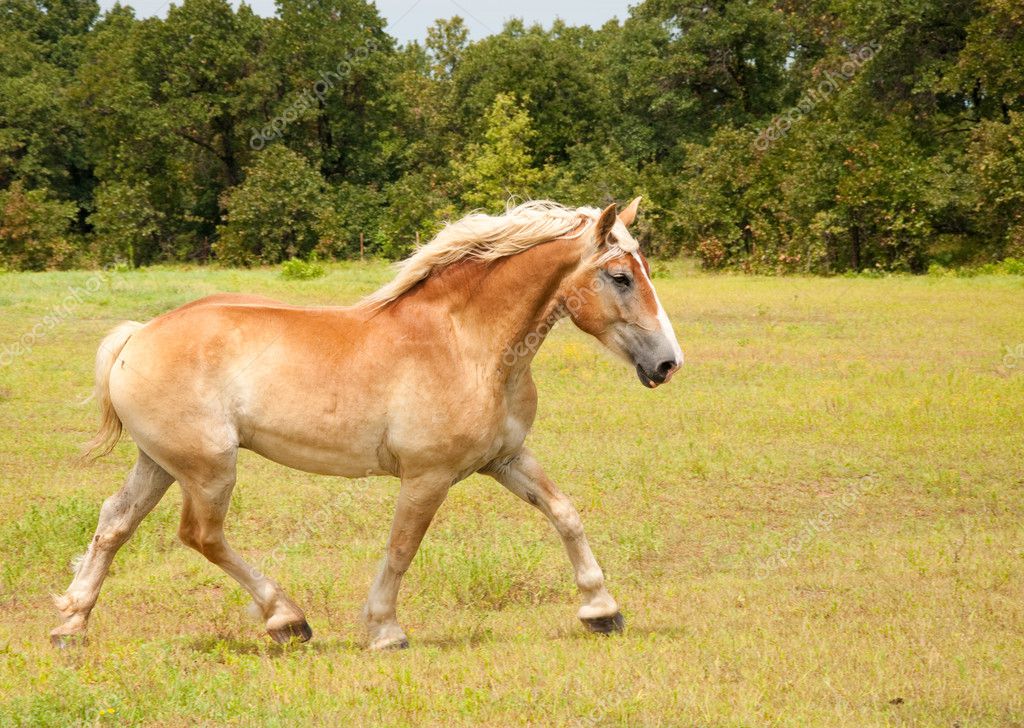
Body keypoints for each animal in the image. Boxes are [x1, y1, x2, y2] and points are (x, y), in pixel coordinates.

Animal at [50, 198, 683, 649]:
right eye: (621, 277)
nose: (667, 364)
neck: (466, 344)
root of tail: (139, 334)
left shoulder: (505, 459)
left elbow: (564, 514)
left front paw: (601, 610)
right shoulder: (427, 477)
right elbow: (402, 548)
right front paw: (385, 630)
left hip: (159, 463)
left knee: (114, 524)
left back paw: (71, 626)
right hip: (208, 468)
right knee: (201, 535)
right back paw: (288, 621)